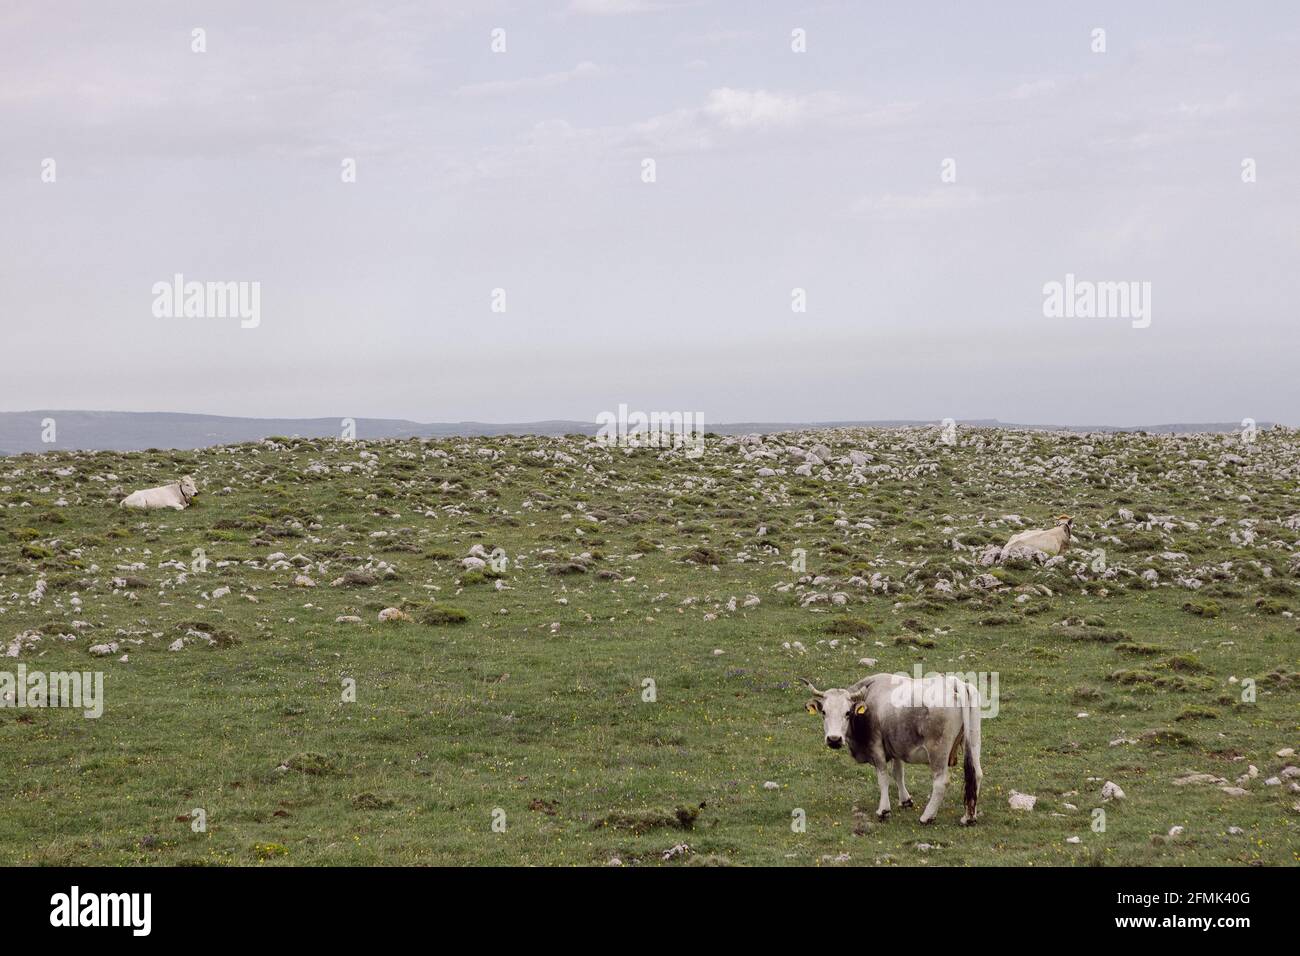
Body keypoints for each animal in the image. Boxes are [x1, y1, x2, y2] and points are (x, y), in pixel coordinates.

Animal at [799, 672, 983, 825]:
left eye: (847, 712)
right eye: (824, 712)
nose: (834, 739)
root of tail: (953, 682)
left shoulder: (876, 747)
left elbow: (883, 778)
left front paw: (884, 810)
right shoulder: (895, 747)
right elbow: (898, 773)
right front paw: (905, 800)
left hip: (938, 751)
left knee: (941, 782)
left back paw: (927, 817)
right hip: (973, 740)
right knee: (977, 774)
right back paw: (969, 816)